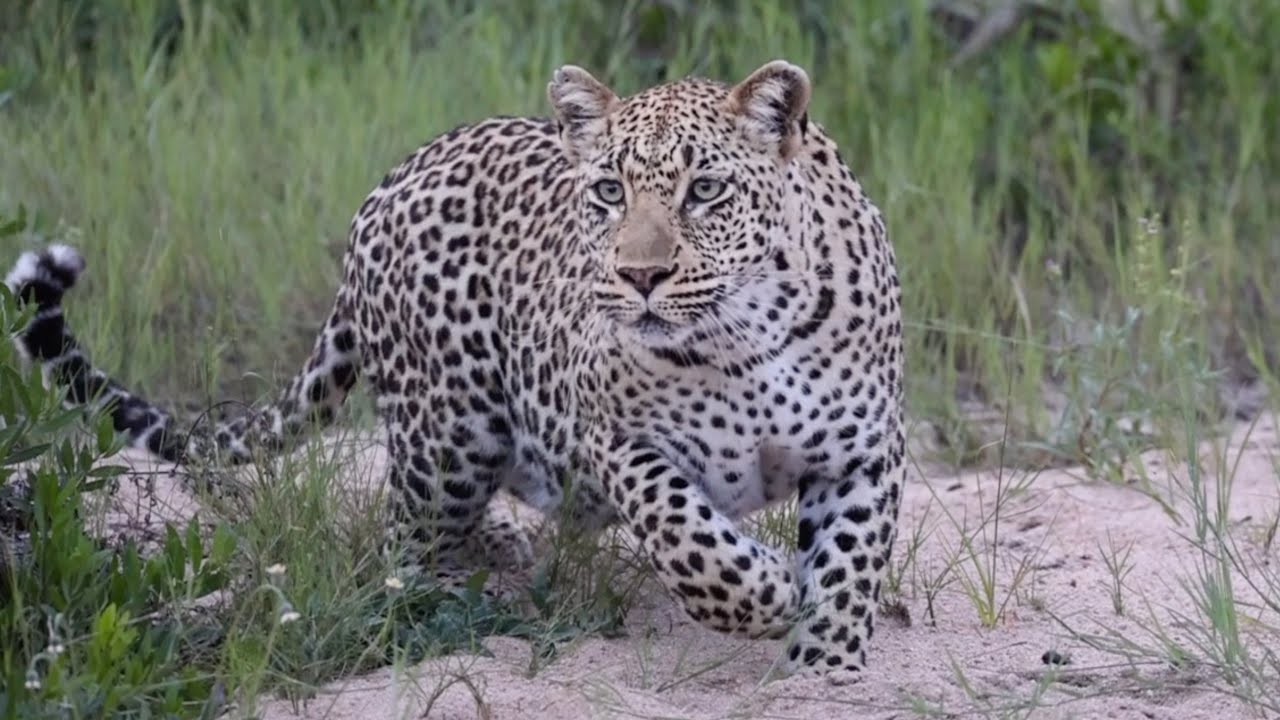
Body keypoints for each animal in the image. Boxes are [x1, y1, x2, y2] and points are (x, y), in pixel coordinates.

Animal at [6, 60, 905, 677]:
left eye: (707, 190)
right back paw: (447, 595)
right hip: (449, 434)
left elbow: (849, 565)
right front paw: (768, 591)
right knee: (404, 544)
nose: (640, 276)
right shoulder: (618, 439)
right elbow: (690, 536)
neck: (745, 338)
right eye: (609, 193)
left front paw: (822, 667)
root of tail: (387, 183)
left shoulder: (866, 452)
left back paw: (499, 551)